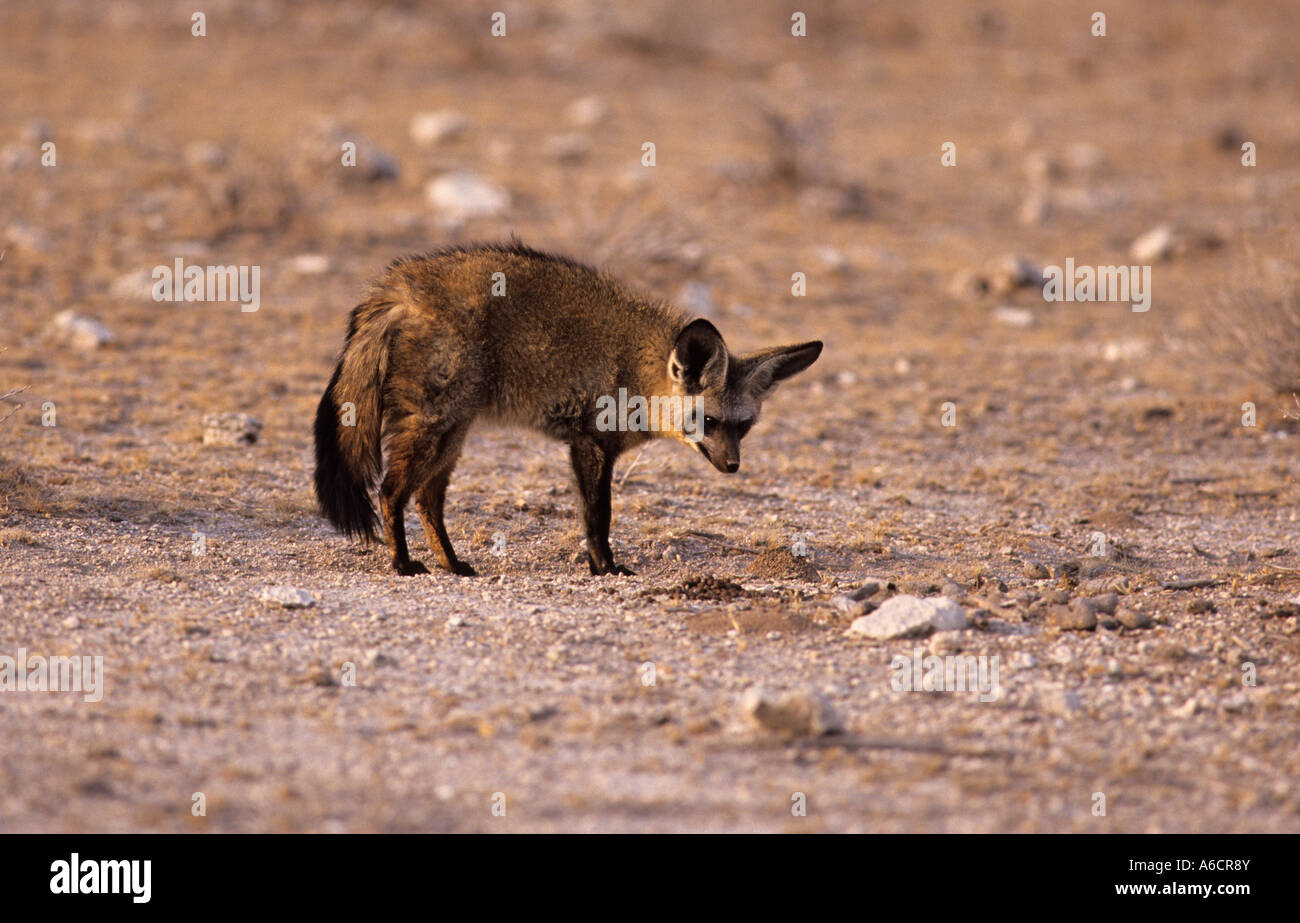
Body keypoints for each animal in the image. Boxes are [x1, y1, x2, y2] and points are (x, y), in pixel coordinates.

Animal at [313, 241, 822, 577]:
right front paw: (606, 568)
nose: (733, 466)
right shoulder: (590, 443)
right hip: (433, 429)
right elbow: (599, 516)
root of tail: (401, 284)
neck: (639, 366)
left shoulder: (588, 445)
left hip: (452, 434)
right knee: (390, 492)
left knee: (425, 500)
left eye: (743, 427)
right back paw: (401, 562)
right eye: (708, 421)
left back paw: (452, 563)